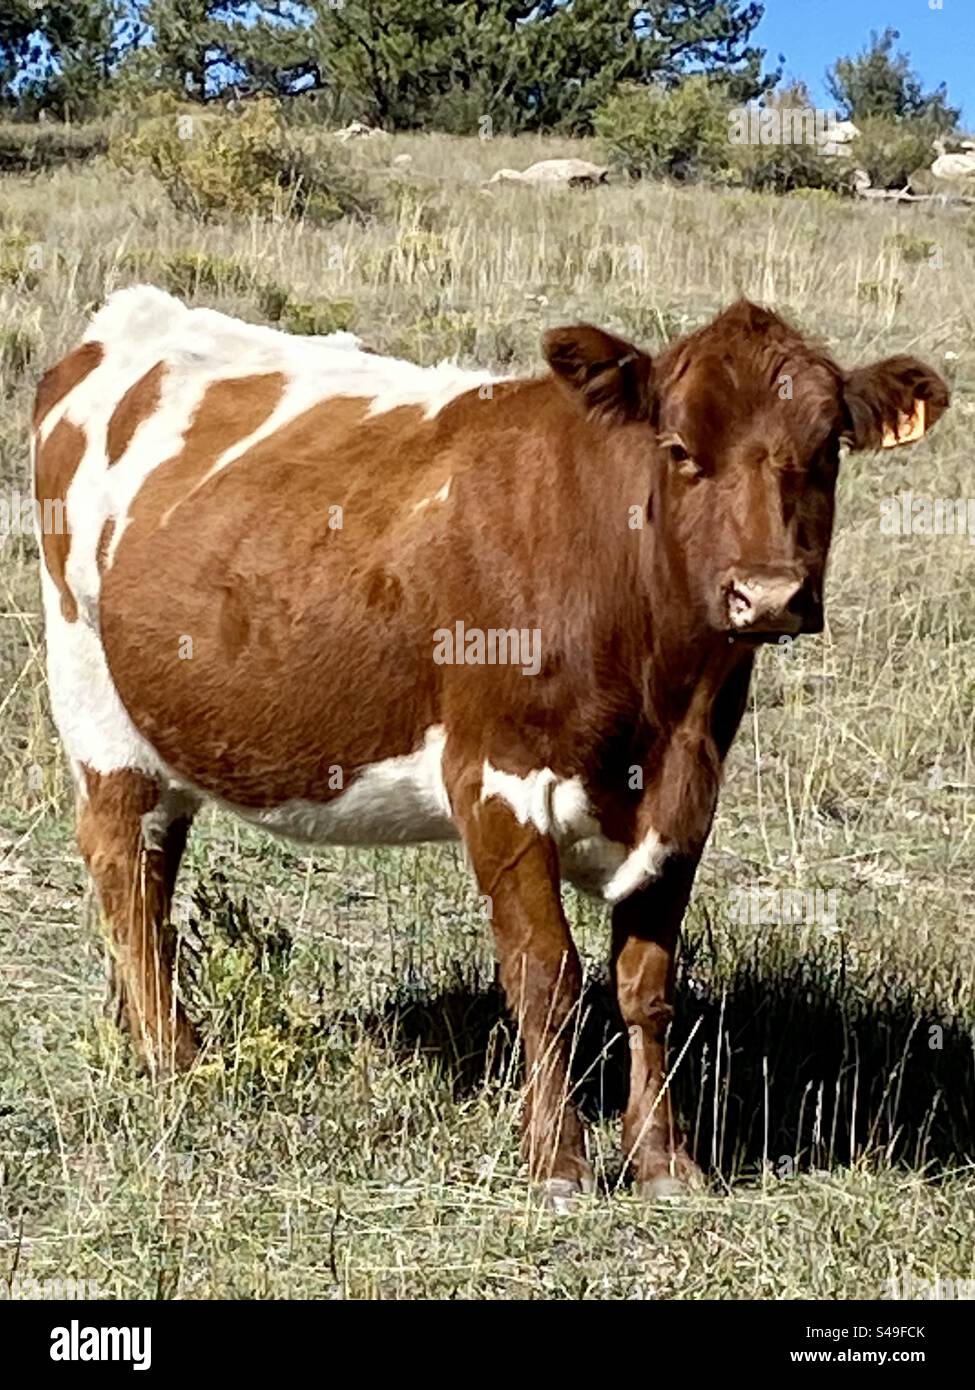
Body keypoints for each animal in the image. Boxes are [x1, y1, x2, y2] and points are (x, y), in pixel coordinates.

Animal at [32, 286, 948, 1205]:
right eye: (680, 449)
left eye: (825, 450)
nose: (765, 594)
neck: (661, 699)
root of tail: (133, 315)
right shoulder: (498, 781)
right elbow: (545, 976)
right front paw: (557, 1162)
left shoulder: (688, 802)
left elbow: (646, 987)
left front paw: (663, 1159)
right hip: (91, 697)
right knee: (121, 864)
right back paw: (173, 1056)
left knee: (153, 866)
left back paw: (140, 1030)